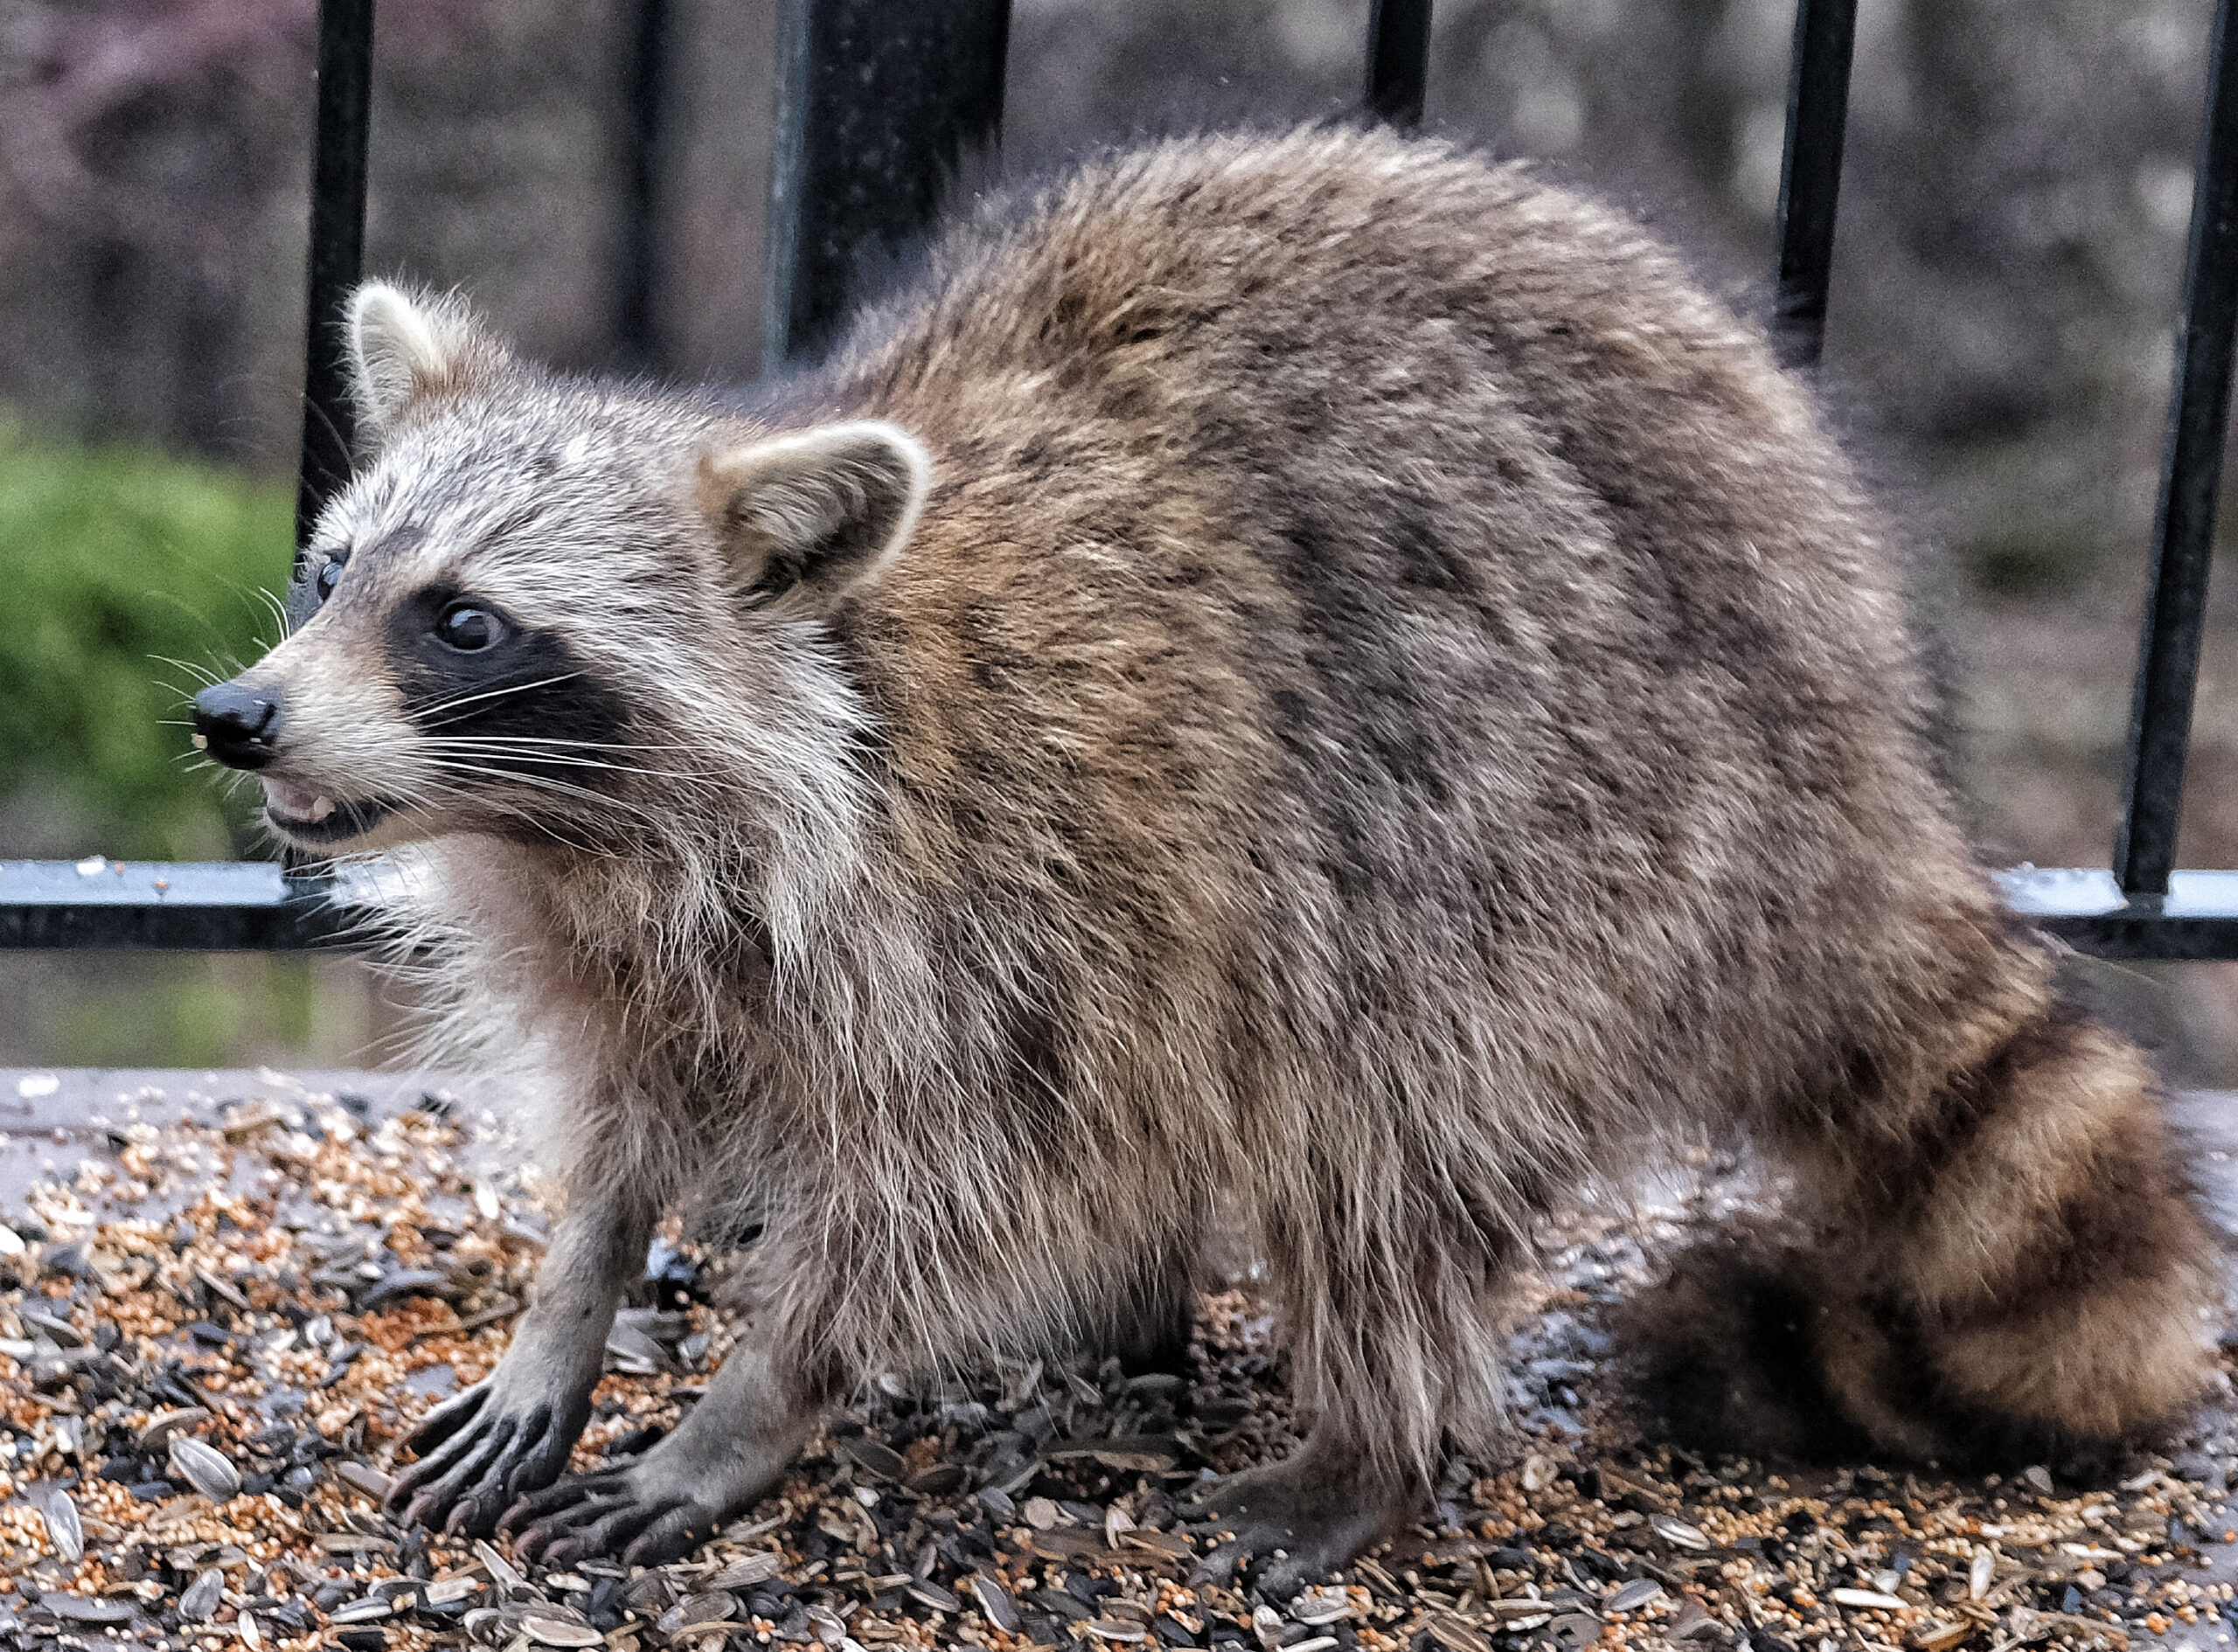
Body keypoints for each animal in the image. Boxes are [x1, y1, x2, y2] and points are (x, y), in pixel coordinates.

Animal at [191, 126, 2217, 1587]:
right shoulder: (615, 947)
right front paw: (573, 1295)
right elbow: (625, 1120)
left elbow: (947, 1204)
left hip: (1571, 852)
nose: (235, 716)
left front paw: (758, 1401)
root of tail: (1868, 755)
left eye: (463, 625)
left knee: (1388, 1135)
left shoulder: (1025, 905)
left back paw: (1383, 1441)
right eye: (330, 573)